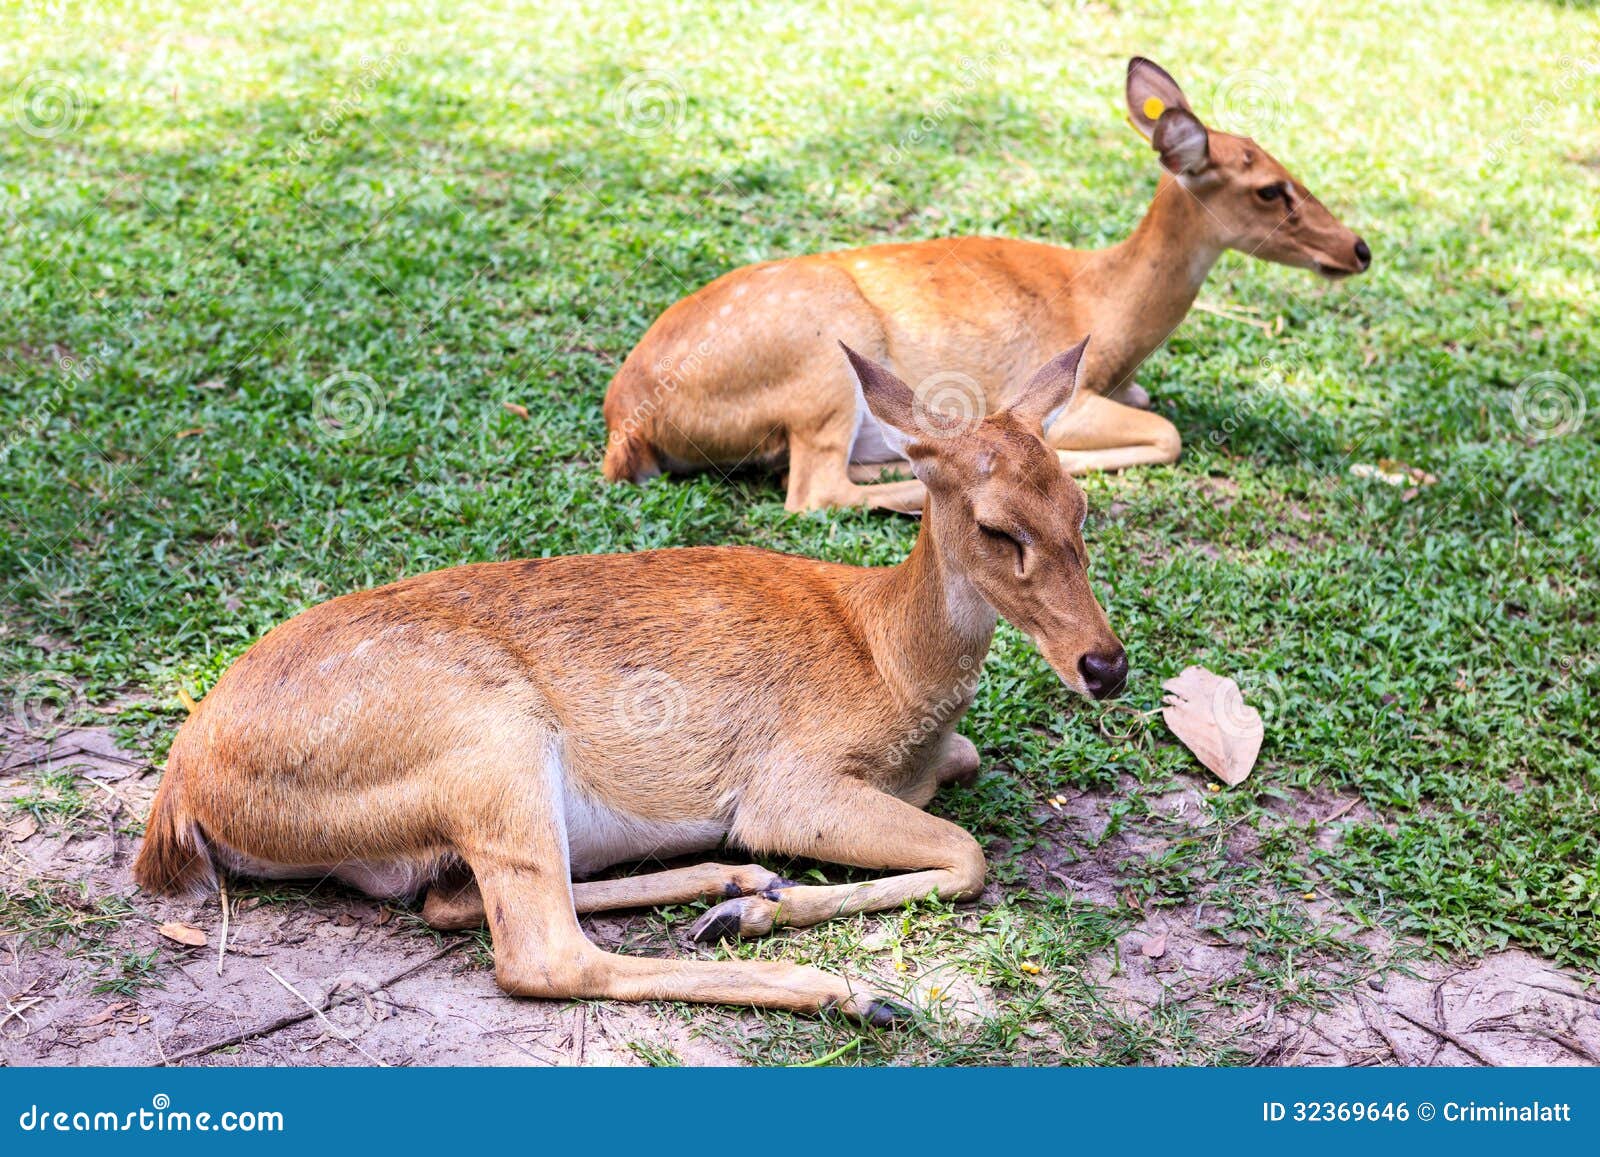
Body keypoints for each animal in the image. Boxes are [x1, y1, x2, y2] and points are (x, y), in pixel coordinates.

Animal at [135, 339, 1125, 1022]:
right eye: (997, 527)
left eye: (1080, 506)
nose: (1105, 664)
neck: (890, 662)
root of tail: (182, 794)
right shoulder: (789, 781)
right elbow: (968, 853)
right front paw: (774, 919)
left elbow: (967, 785)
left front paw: (756, 901)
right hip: (489, 737)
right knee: (537, 952)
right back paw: (838, 983)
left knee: (454, 902)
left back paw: (735, 887)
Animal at [603, 57, 1369, 513]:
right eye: (1270, 189)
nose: (1358, 249)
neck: (1112, 313)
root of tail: (628, 424)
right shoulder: (1064, 392)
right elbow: (1168, 432)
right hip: (820, 362)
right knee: (814, 491)